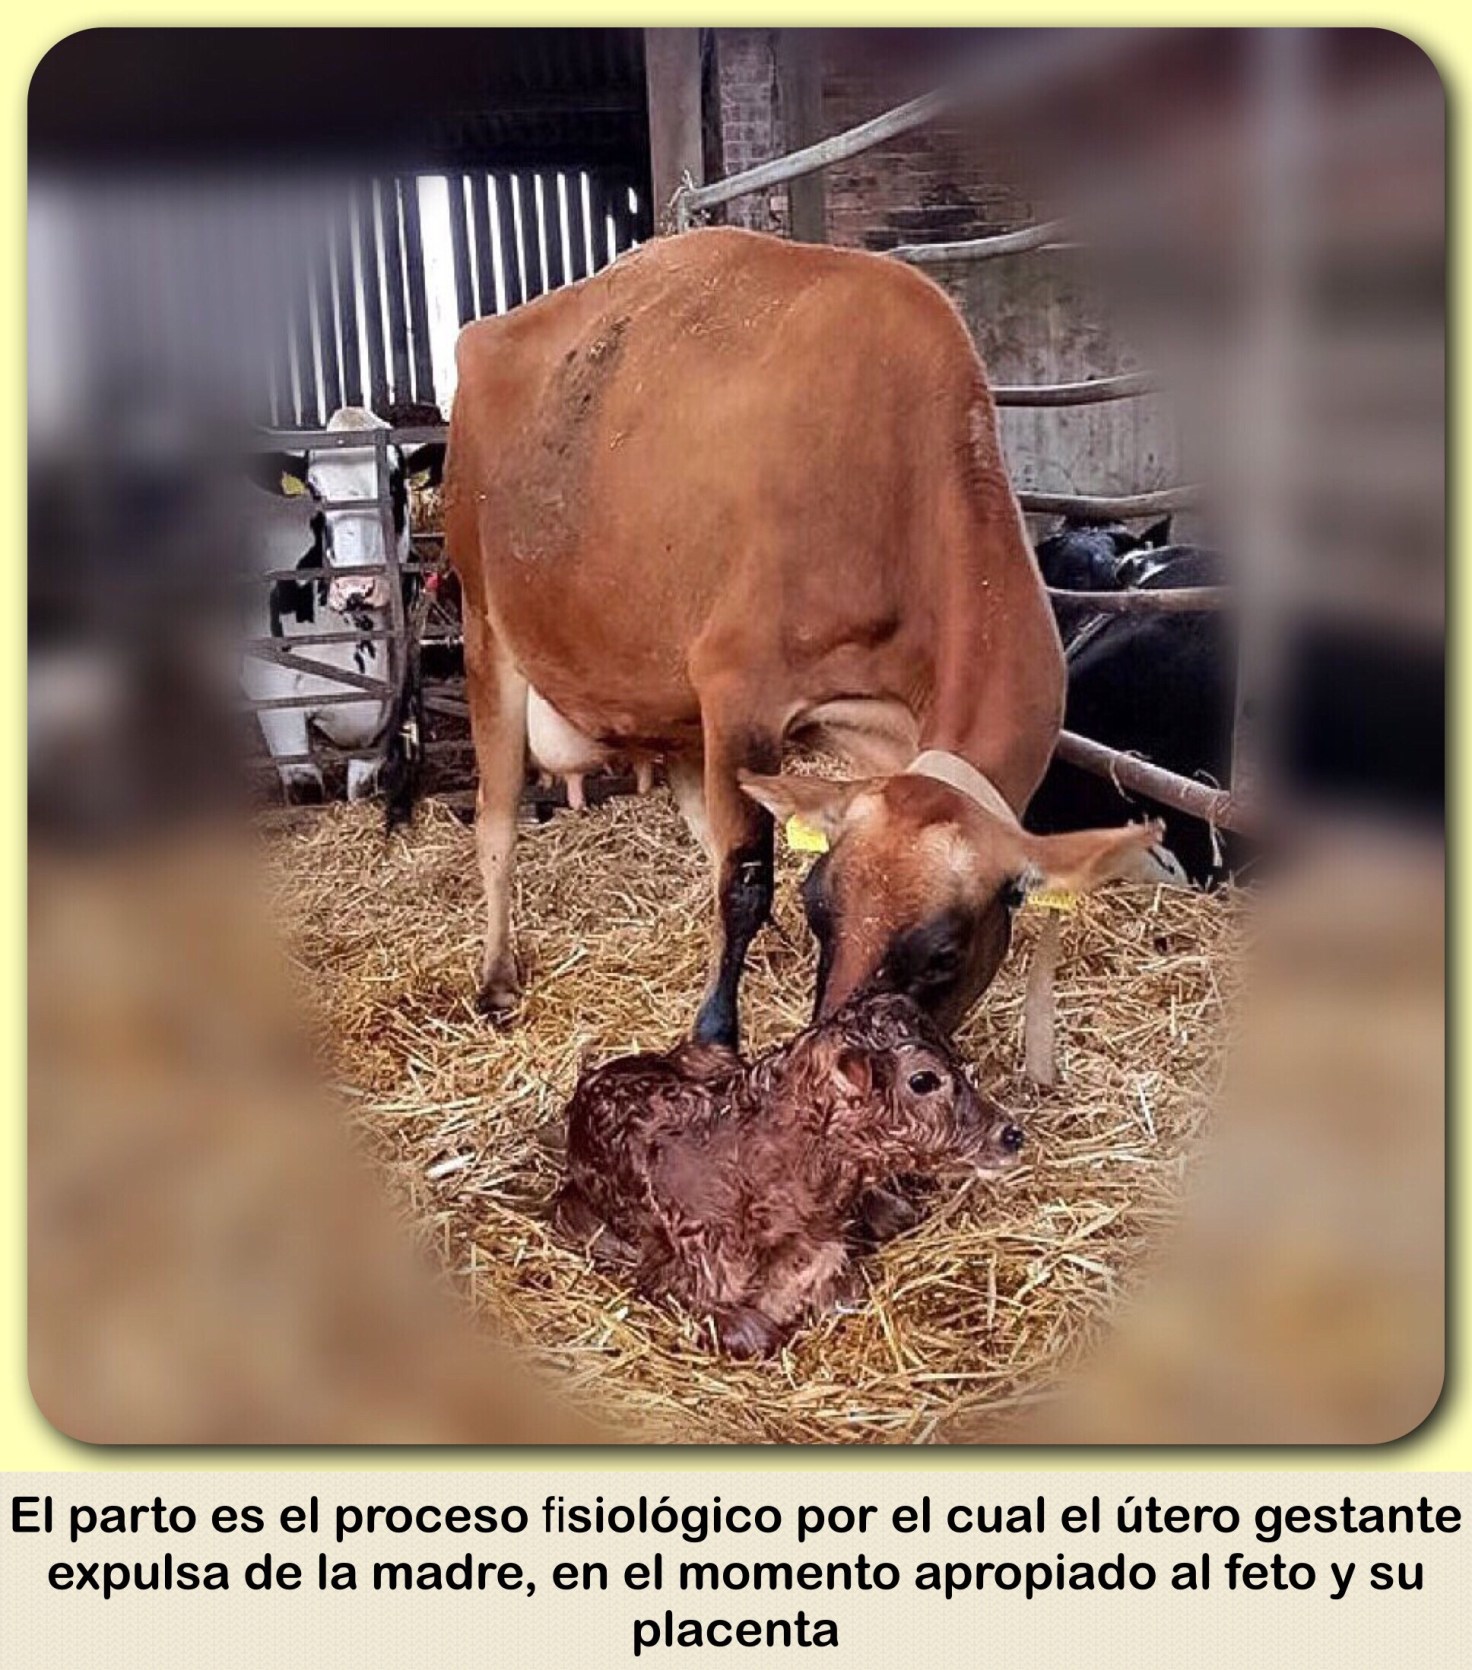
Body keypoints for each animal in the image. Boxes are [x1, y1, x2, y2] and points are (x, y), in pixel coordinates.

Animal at [246, 408, 443, 804]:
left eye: (394, 484)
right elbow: (305, 790)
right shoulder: (273, 695)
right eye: (315, 492)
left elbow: (363, 789)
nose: (356, 587)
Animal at [435, 228, 1174, 1045]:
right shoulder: (739, 691)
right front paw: (715, 1031)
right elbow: (747, 878)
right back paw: (497, 977)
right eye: (822, 907)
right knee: (498, 819)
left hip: (671, 695)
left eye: (945, 953)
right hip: (488, 631)